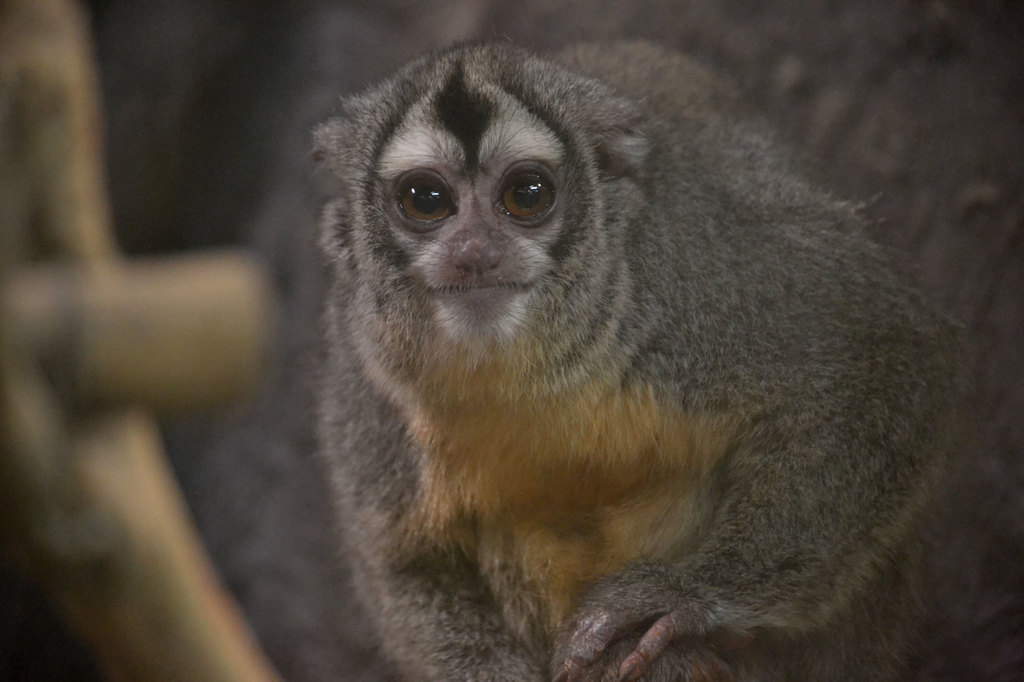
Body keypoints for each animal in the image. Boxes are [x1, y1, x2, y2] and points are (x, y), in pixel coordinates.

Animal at [312, 40, 962, 681]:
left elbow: (878, 339)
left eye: (527, 195)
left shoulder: (695, 269)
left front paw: (679, 596)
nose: (475, 253)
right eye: (425, 200)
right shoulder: (362, 370)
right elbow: (403, 557)